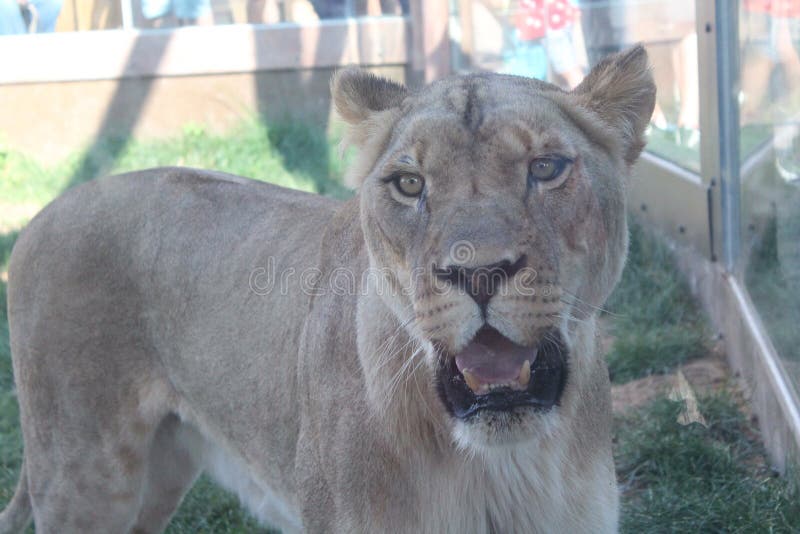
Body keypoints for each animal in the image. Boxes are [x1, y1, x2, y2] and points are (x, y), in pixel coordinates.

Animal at [0, 45, 654, 533]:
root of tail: (46, 211)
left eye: (546, 168)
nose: (478, 274)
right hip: (83, 475)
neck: (502, 468)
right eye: (409, 183)